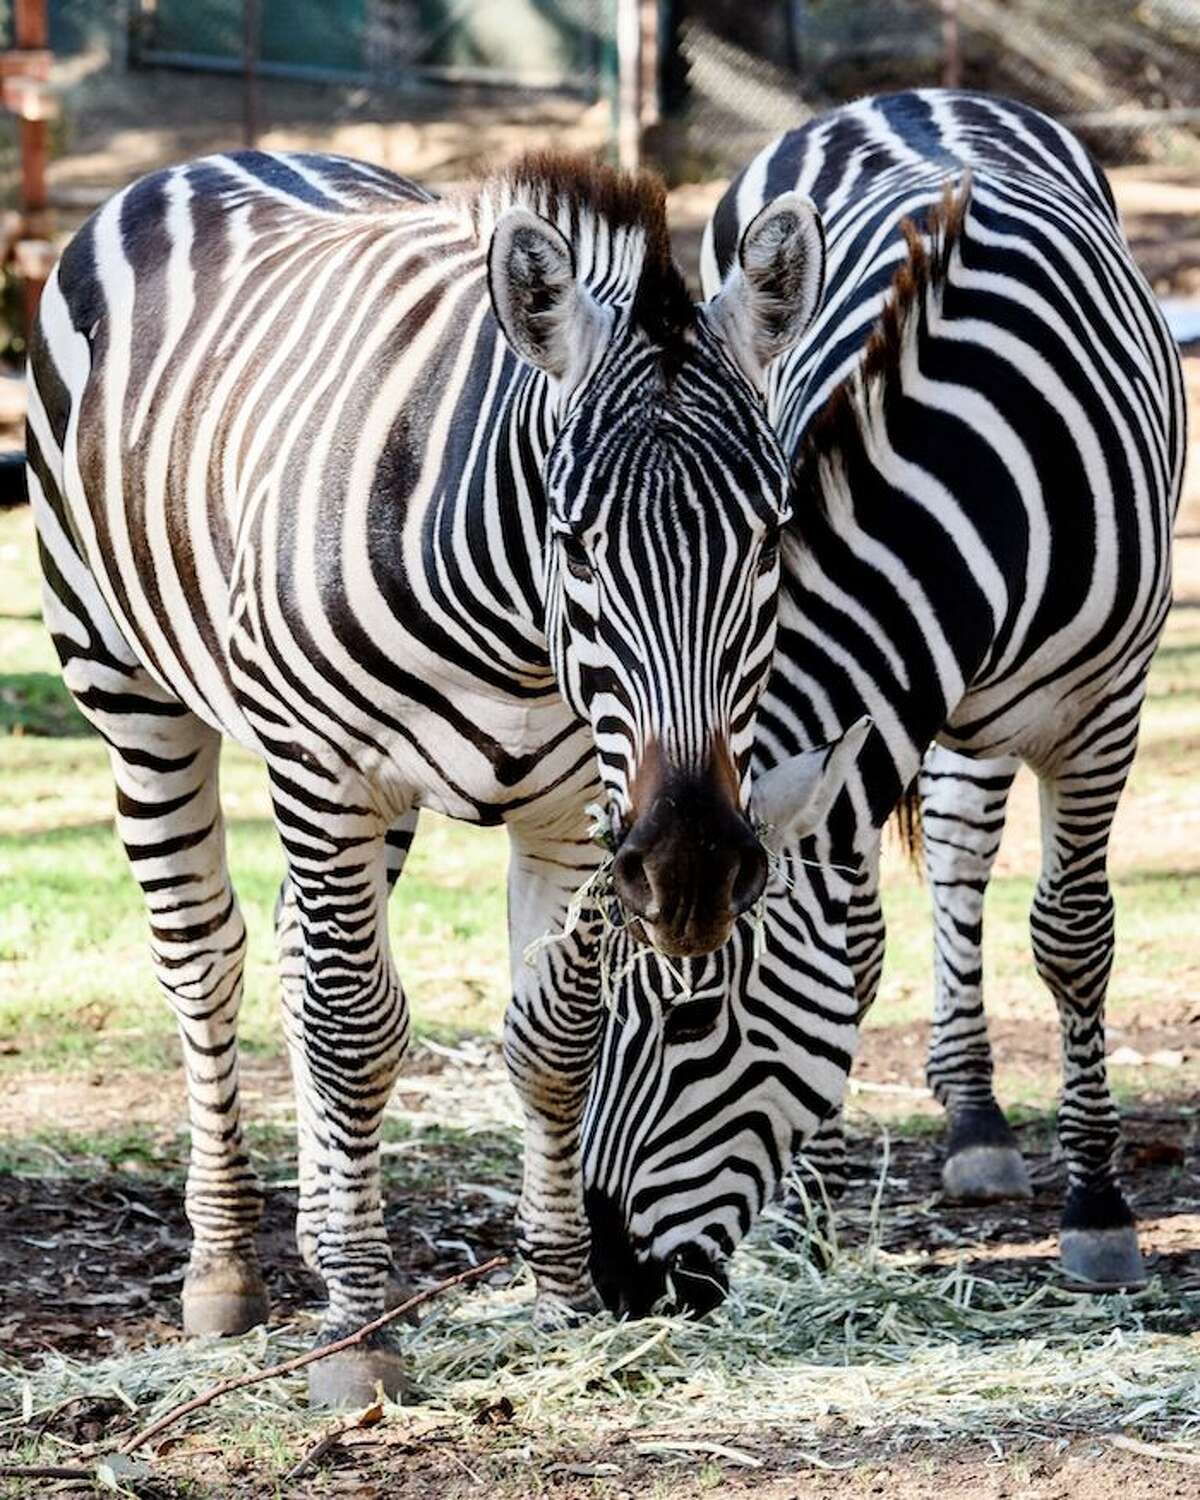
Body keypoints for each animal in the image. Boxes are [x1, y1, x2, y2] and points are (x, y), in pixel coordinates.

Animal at [25, 146, 851, 1403]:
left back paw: (321, 1235)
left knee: (292, 947)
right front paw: (363, 1337)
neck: (519, 633)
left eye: (769, 539)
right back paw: (228, 1270)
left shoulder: (578, 802)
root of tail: (225, 157)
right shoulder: (327, 769)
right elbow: (356, 1028)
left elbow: (553, 1038)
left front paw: (560, 1299)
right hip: (126, 682)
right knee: (206, 960)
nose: (696, 870)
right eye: (574, 542)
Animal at [581, 90, 1186, 1316]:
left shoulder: (1105, 712)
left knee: (966, 855)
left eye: (692, 1020)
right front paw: (808, 1210)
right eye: (602, 1010)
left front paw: (1099, 1207)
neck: (981, 480)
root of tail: (911, 95)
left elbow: (1075, 937)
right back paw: (974, 1116)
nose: (614, 1281)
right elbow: (854, 949)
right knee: (951, 854)